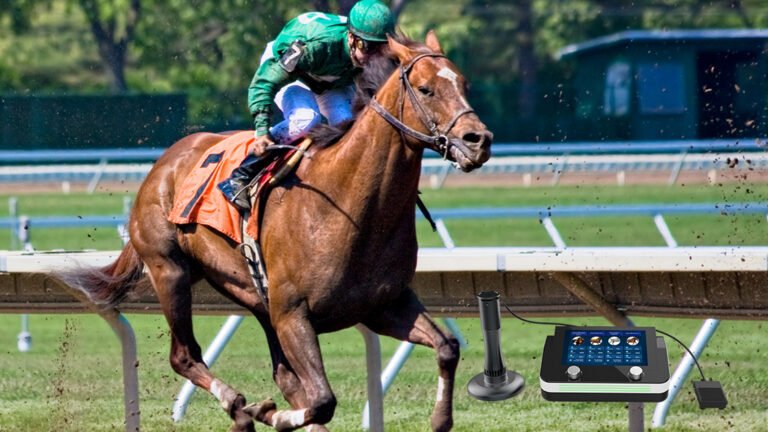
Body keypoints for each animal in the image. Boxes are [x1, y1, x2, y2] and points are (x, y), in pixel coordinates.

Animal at [61, 31, 492, 432]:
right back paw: (238, 405)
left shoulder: (384, 305)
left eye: (465, 84)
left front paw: (440, 418)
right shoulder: (293, 313)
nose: (479, 140)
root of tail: (165, 160)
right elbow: (322, 399)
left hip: (256, 298)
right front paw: (269, 413)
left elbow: (447, 347)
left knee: (282, 375)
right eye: (426, 88)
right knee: (185, 356)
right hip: (171, 270)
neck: (350, 206)